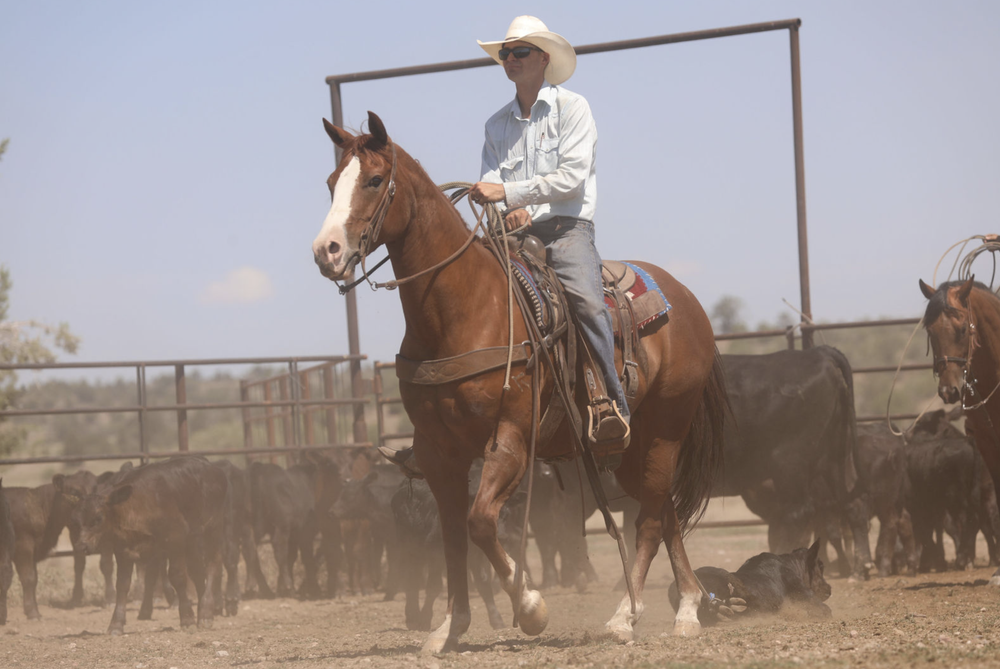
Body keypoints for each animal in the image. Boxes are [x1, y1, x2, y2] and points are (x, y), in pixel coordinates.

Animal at [312, 111, 728, 652]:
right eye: (330, 182)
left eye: (375, 180)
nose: (326, 251)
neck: (463, 309)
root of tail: (688, 302)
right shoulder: (438, 454)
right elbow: (454, 538)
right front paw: (450, 627)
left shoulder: (509, 441)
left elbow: (481, 523)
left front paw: (529, 607)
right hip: (633, 448)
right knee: (665, 511)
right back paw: (687, 609)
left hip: (666, 430)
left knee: (653, 518)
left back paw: (625, 615)